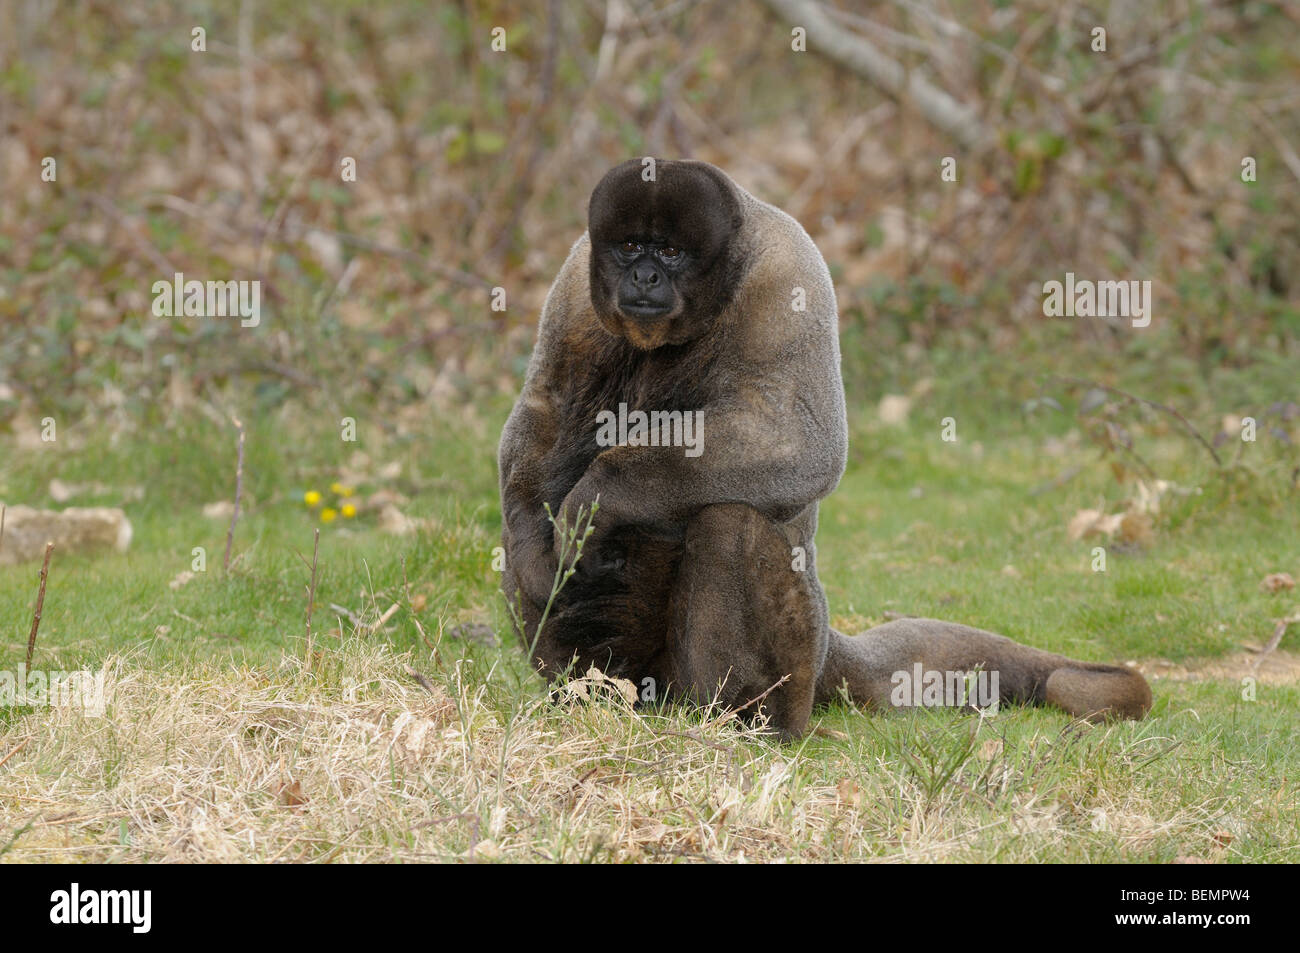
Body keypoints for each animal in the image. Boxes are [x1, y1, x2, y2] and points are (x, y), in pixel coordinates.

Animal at [498, 157, 1151, 741]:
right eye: (632, 246)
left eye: (672, 254)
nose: (644, 277)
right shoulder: (576, 277)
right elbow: (544, 405)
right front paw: (536, 550)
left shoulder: (789, 273)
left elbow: (803, 444)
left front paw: (598, 497)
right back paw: (584, 695)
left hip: (795, 653)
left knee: (732, 520)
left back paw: (746, 723)